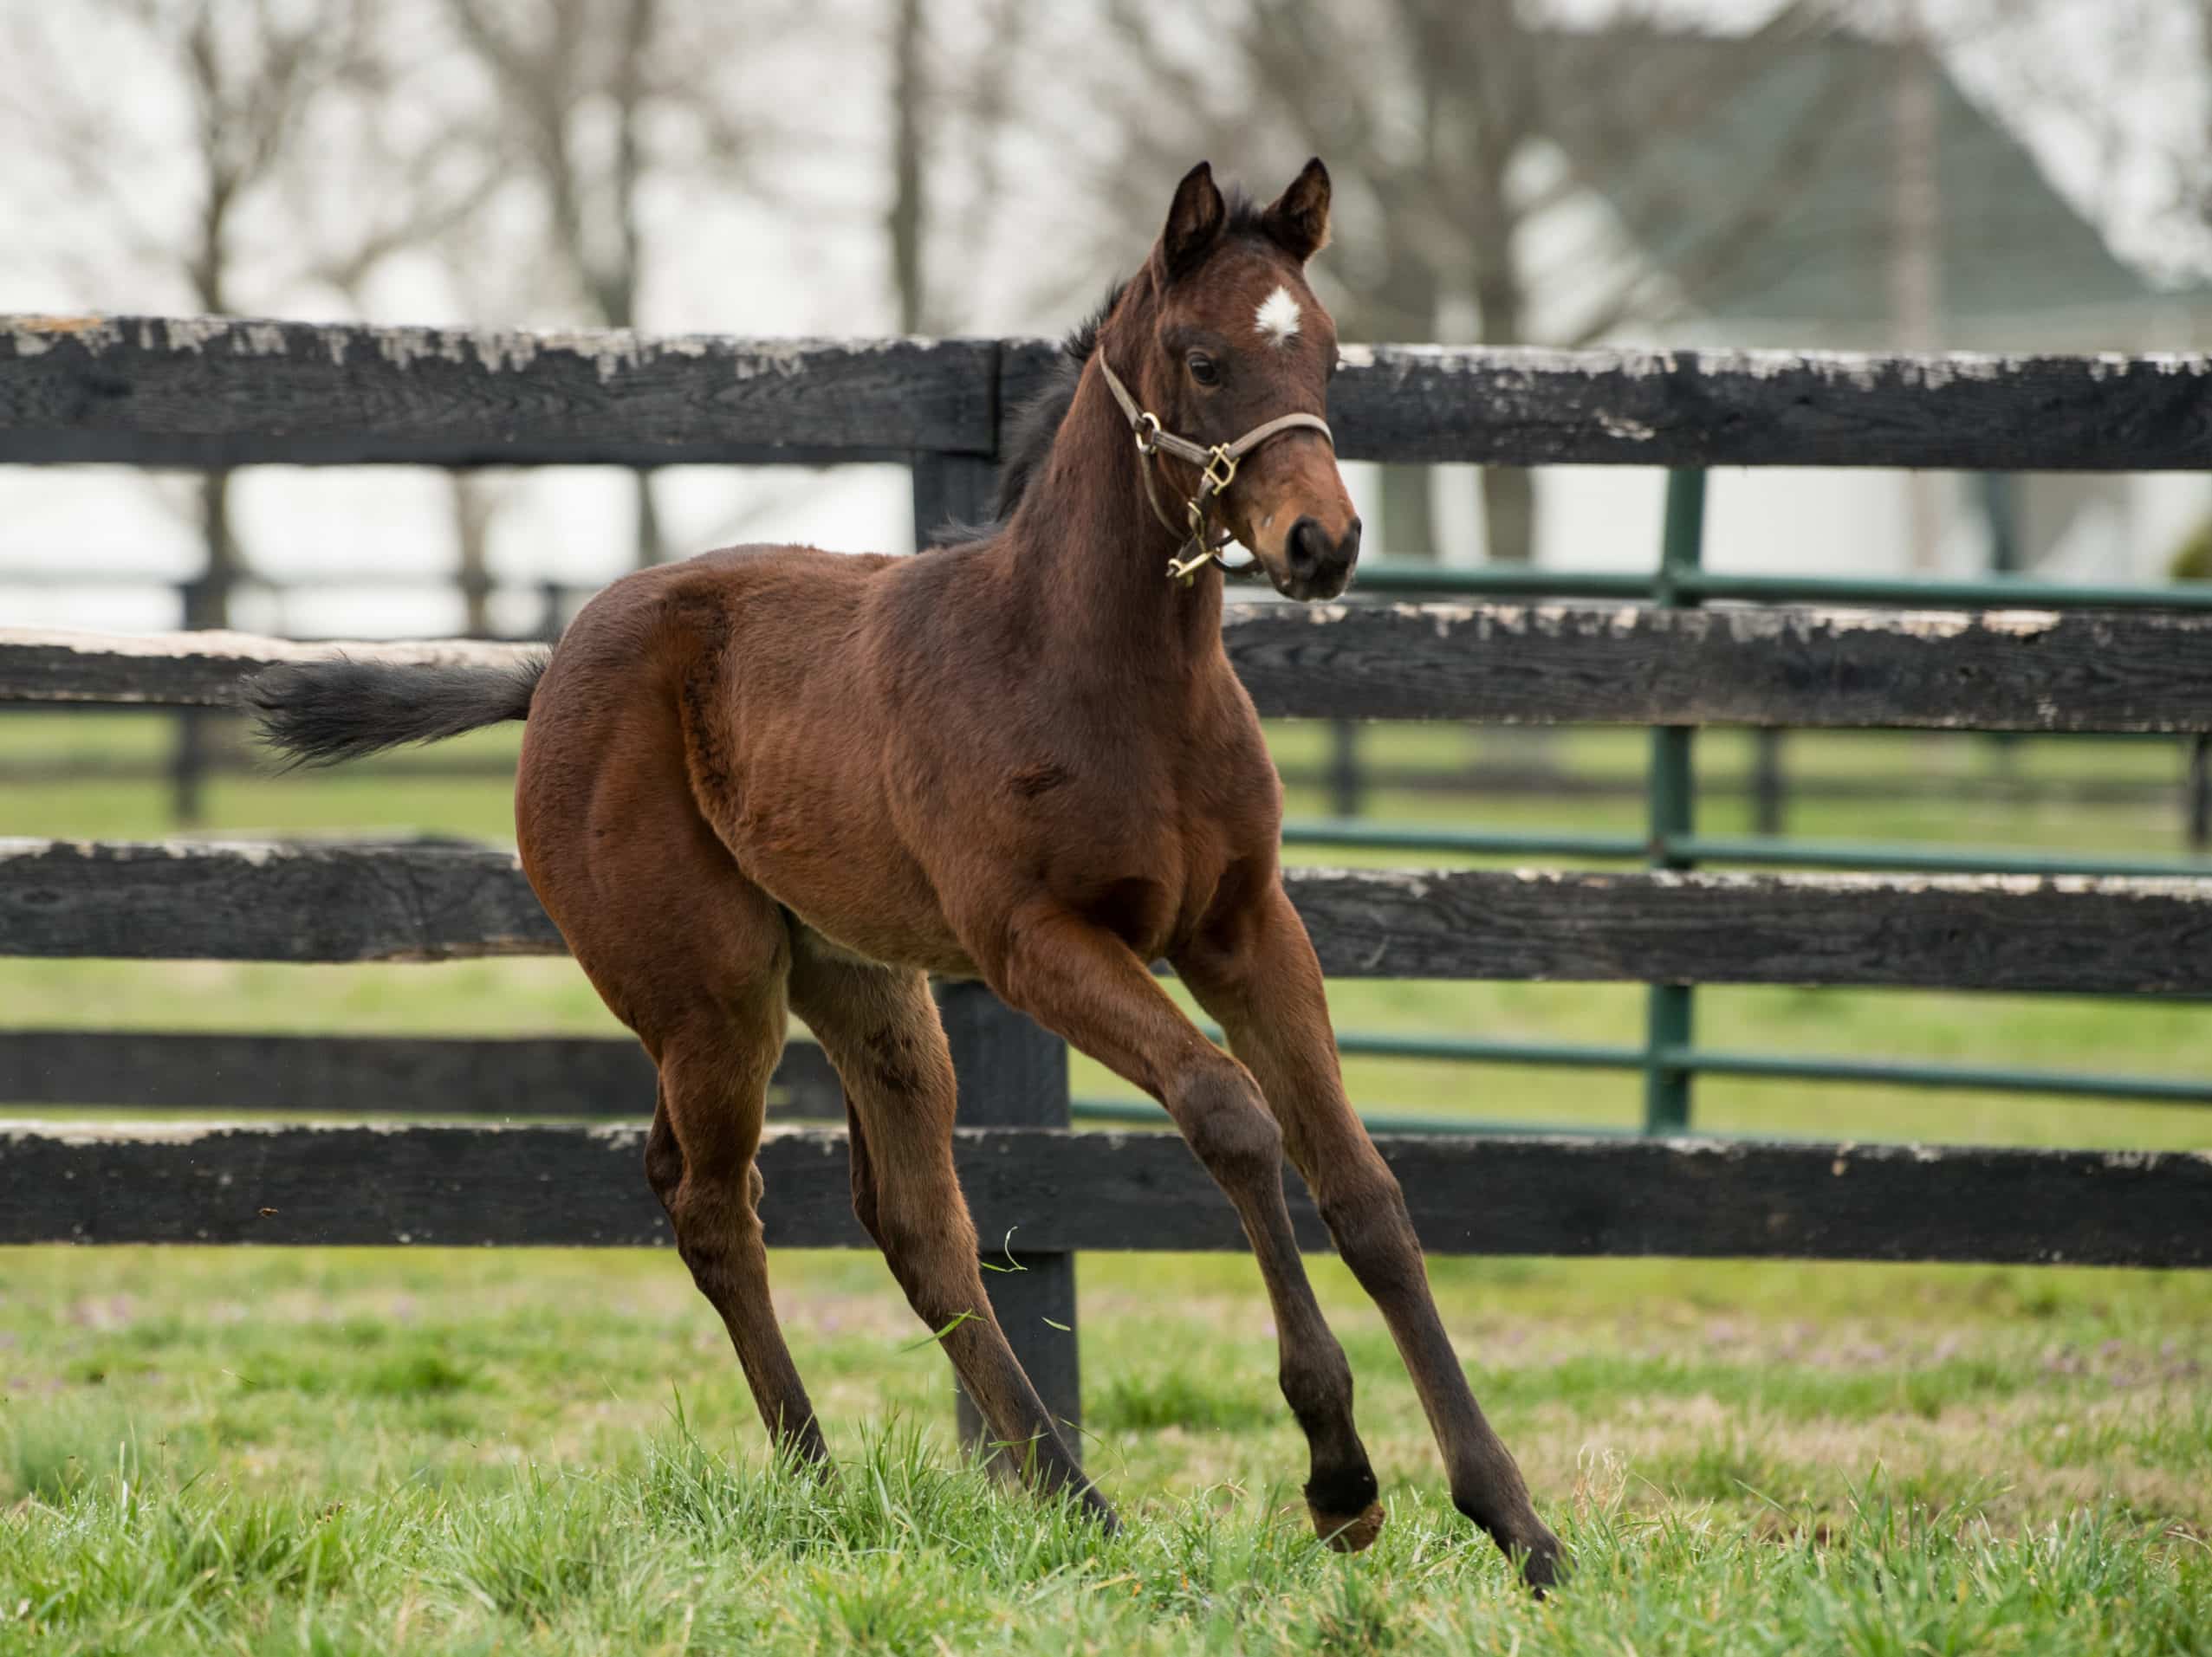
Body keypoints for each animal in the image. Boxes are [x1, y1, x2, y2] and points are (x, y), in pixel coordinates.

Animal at [248, 158, 1561, 1589]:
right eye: (1204, 357)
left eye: (1324, 351)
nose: (1323, 542)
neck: (1103, 672)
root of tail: (546, 673)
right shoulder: (1036, 941)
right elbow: (1231, 1114)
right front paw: (1340, 1479)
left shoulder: (1243, 925)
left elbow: (1360, 1185)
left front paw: (1516, 1520)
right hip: (712, 995)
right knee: (712, 1203)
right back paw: (819, 1479)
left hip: (863, 984)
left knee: (917, 1225)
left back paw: (1075, 1503)